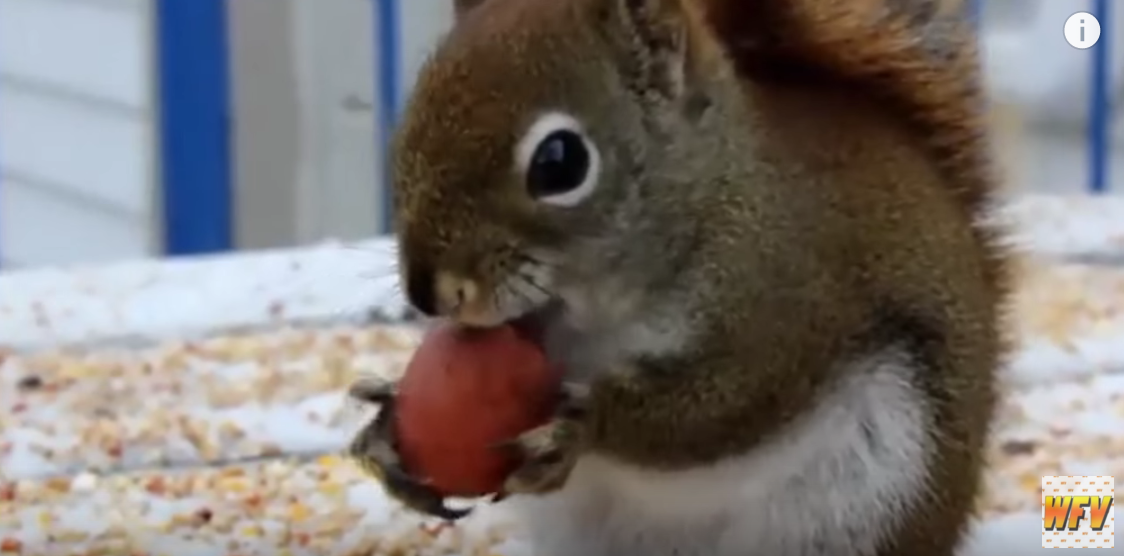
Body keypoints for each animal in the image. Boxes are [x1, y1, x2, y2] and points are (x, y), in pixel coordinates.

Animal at [348, 0, 1010, 554]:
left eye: (560, 162)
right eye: (408, 128)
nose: (427, 291)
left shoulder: (785, 300)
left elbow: (724, 406)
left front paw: (585, 424)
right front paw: (385, 433)